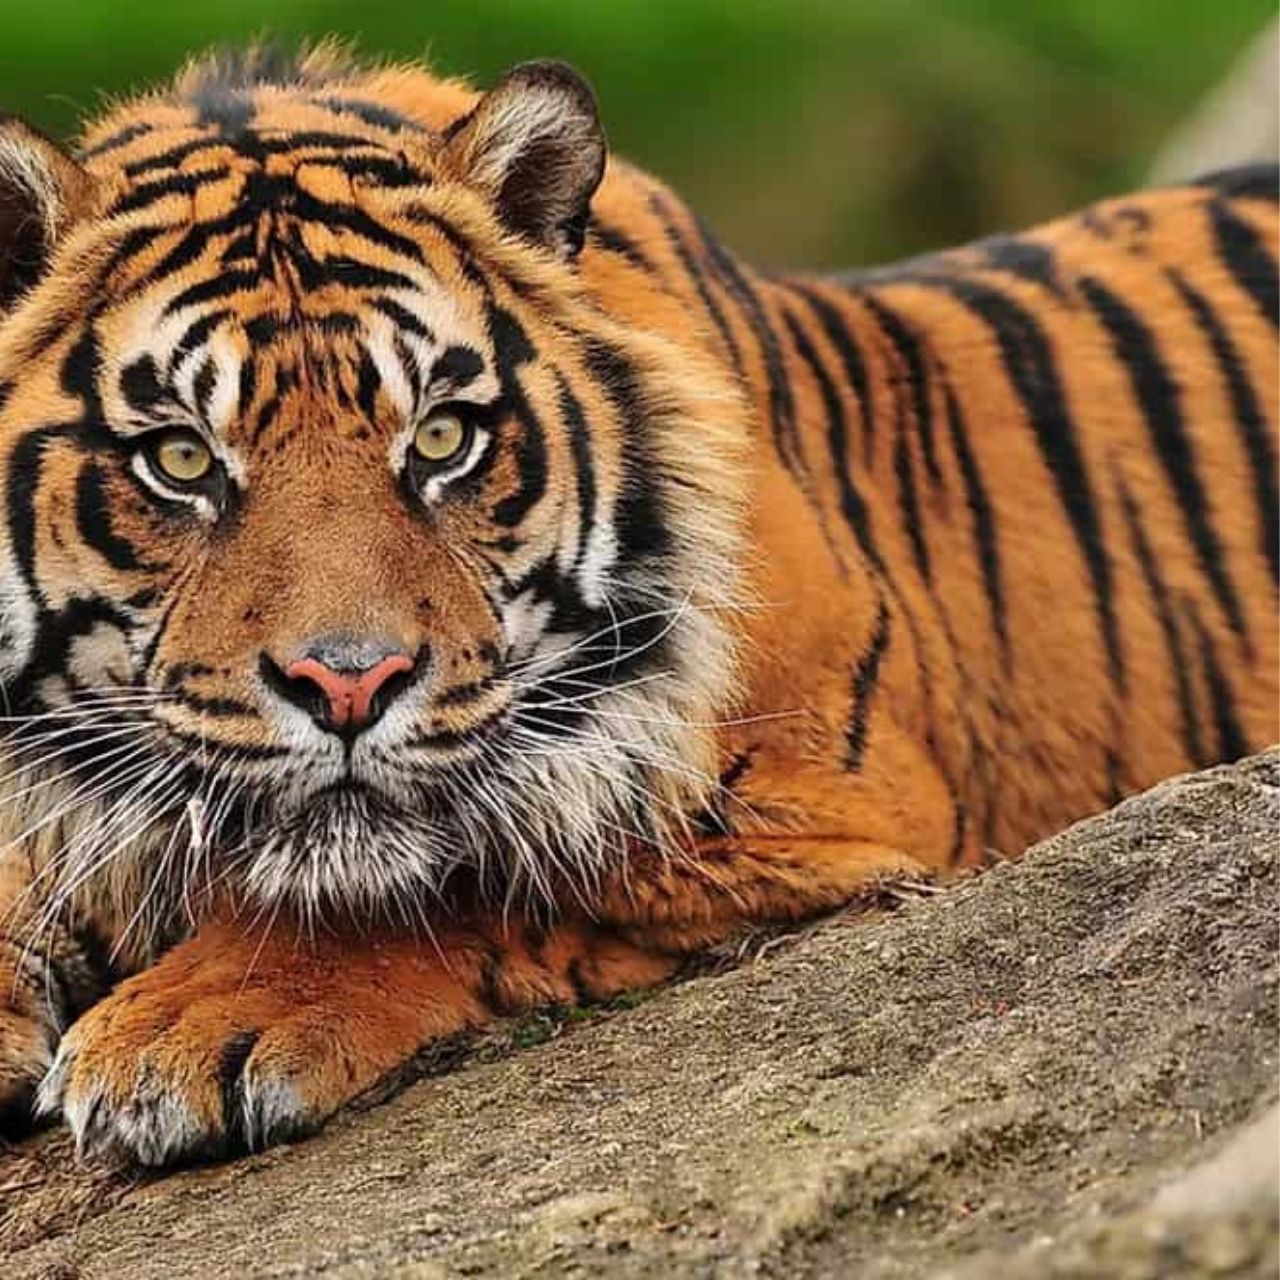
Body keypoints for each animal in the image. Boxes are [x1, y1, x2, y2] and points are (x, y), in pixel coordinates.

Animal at [0, 44, 1273, 1167]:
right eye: (180, 457)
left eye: (444, 439)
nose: (348, 684)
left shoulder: (828, 807)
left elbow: (461, 877)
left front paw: (180, 1030)